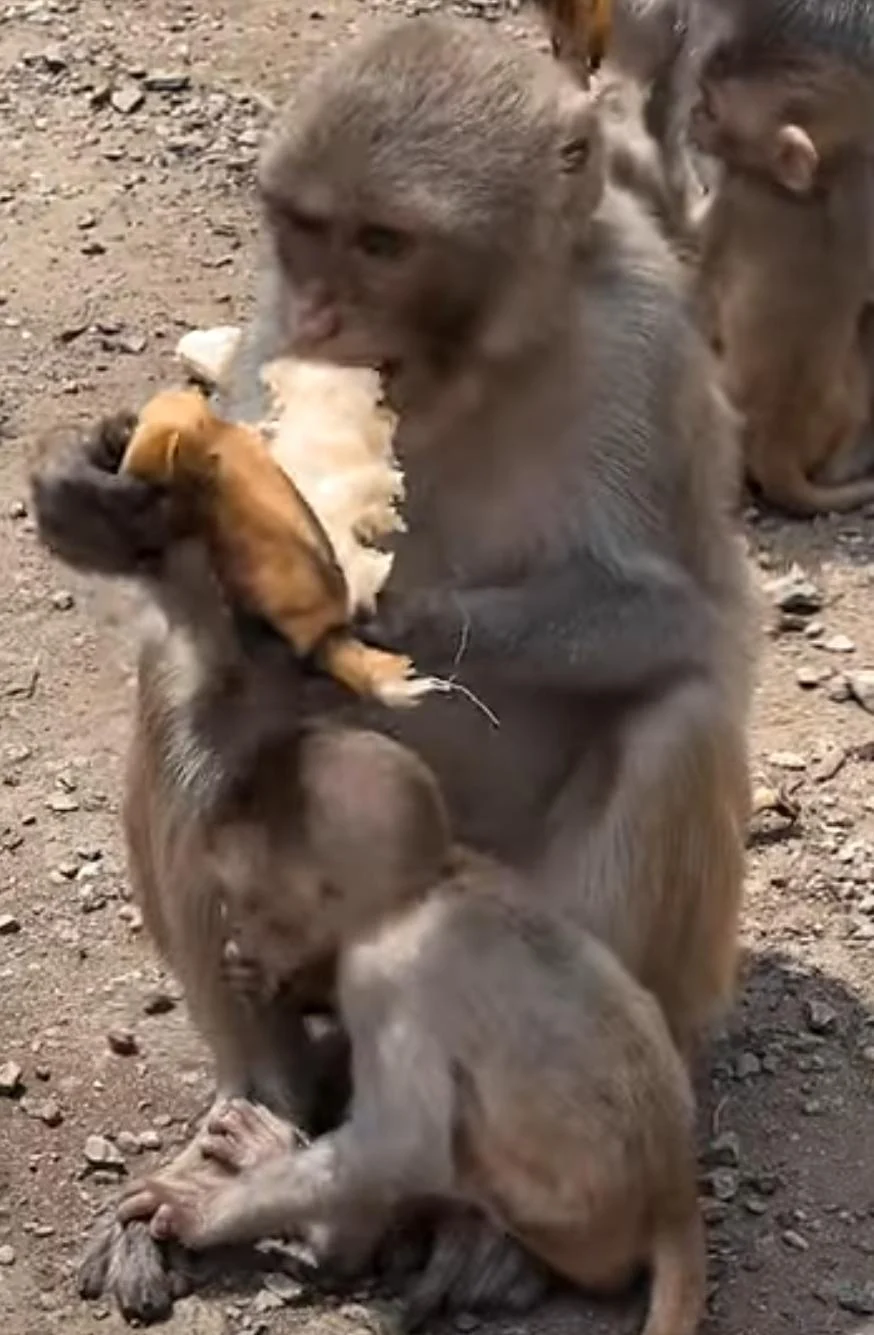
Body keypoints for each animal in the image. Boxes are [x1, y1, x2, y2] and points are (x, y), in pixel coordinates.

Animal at [116, 725, 706, 1335]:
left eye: (252, 901)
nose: (240, 933)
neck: (422, 889)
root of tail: (672, 1192)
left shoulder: (380, 974)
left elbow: (402, 1144)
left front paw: (207, 1214)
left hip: (556, 1223)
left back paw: (330, 1238)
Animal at [687, 0, 874, 514]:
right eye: (702, 98)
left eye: (713, 109)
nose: (691, 115)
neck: (817, 186)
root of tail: (779, 446)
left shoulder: (738, 195)